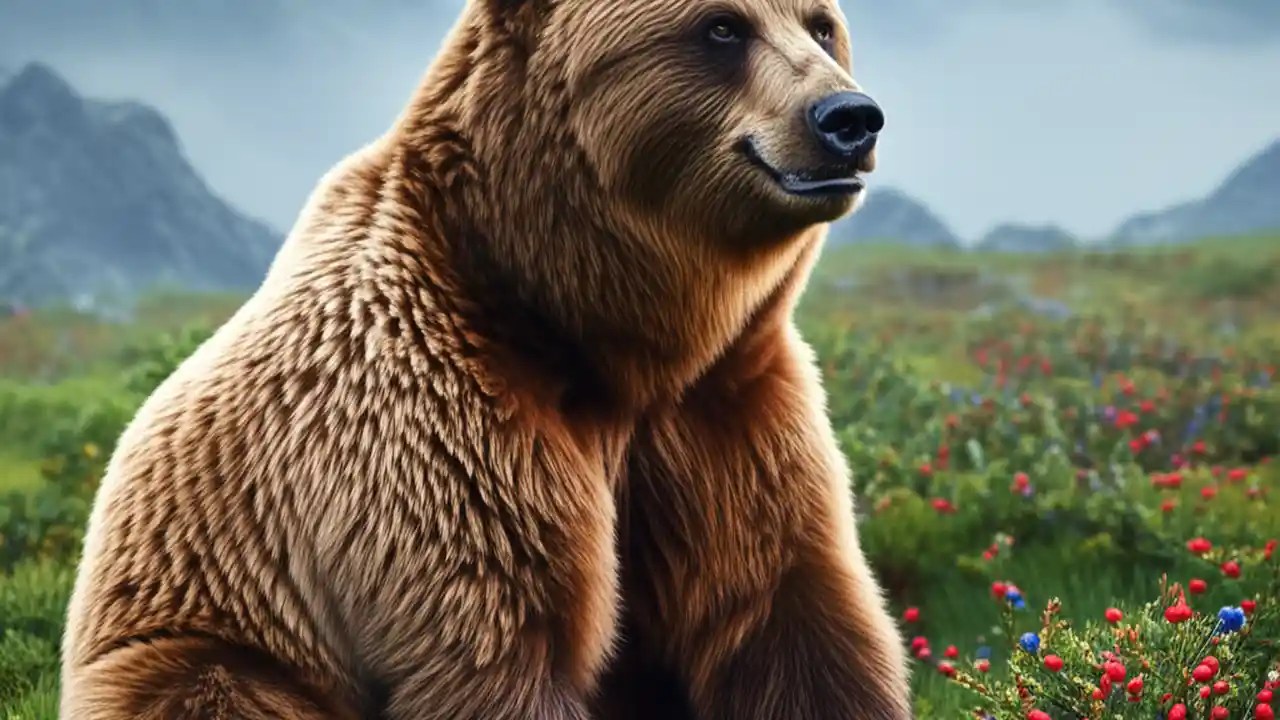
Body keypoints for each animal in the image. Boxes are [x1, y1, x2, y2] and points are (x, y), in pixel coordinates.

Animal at [58, 0, 909, 718]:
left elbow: (788, 619)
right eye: (722, 27)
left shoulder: (725, 412)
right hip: (202, 639)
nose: (849, 118)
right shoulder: (437, 425)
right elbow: (500, 646)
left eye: (822, 25)